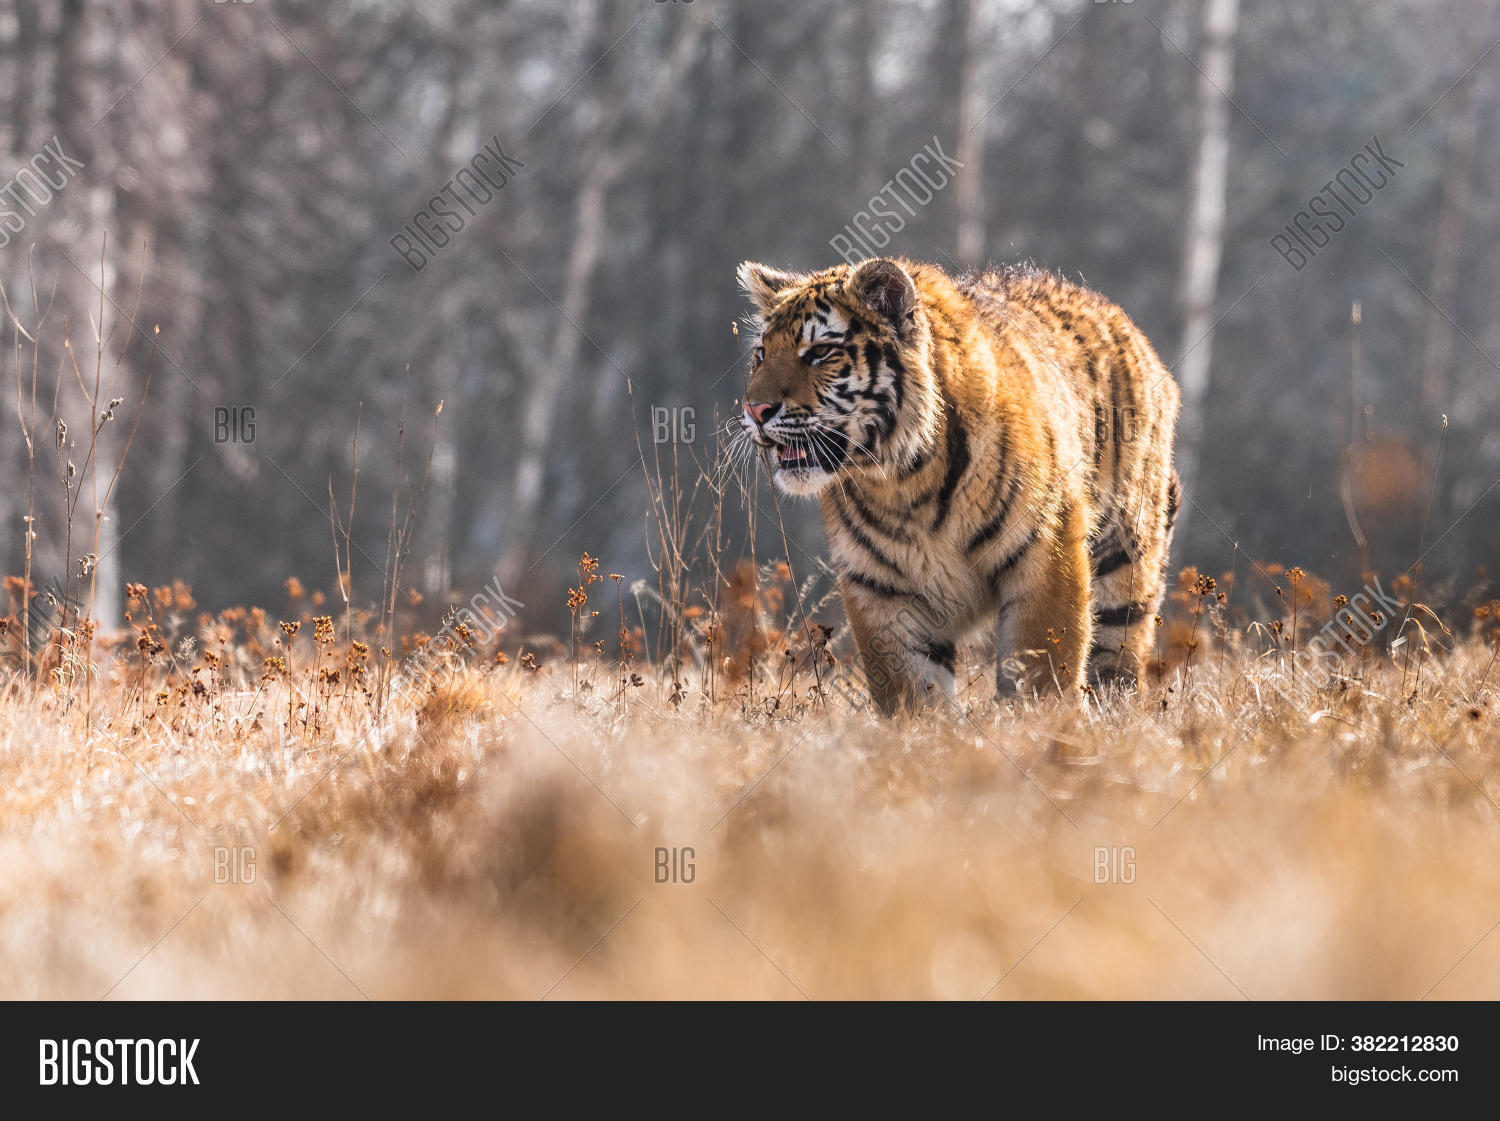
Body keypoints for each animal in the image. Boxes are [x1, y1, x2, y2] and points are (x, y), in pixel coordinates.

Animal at [736, 255, 1181, 712]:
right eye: (761, 354)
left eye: (820, 352)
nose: (754, 409)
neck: (903, 480)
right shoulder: (881, 588)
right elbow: (911, 694)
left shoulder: (1047, 548)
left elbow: (1042, 672)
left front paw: (1042, 725)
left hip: (1125, 564)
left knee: (1118, 668)